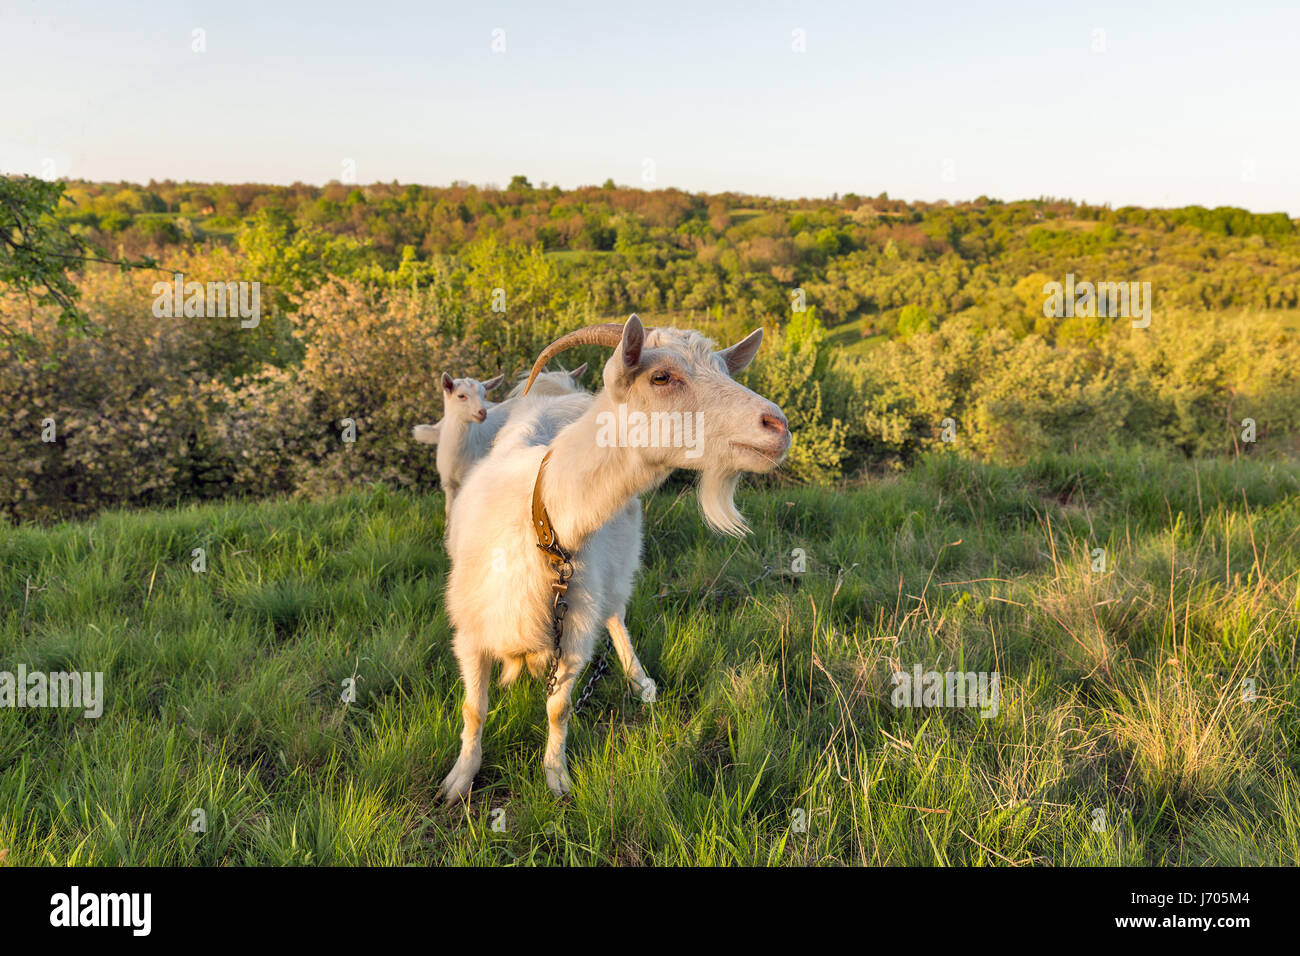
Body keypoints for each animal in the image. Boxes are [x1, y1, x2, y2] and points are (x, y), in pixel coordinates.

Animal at [439, 314, 790, 801]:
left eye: (725, 370)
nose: (778, 425)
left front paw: (556, 776)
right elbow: (474, 709)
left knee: (617, 614)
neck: (541, 521)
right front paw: (459, 778)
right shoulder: (471, 629)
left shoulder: (574, 631)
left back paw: (640, 680)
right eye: (661, 377)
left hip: (620, 565)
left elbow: (559, 709)